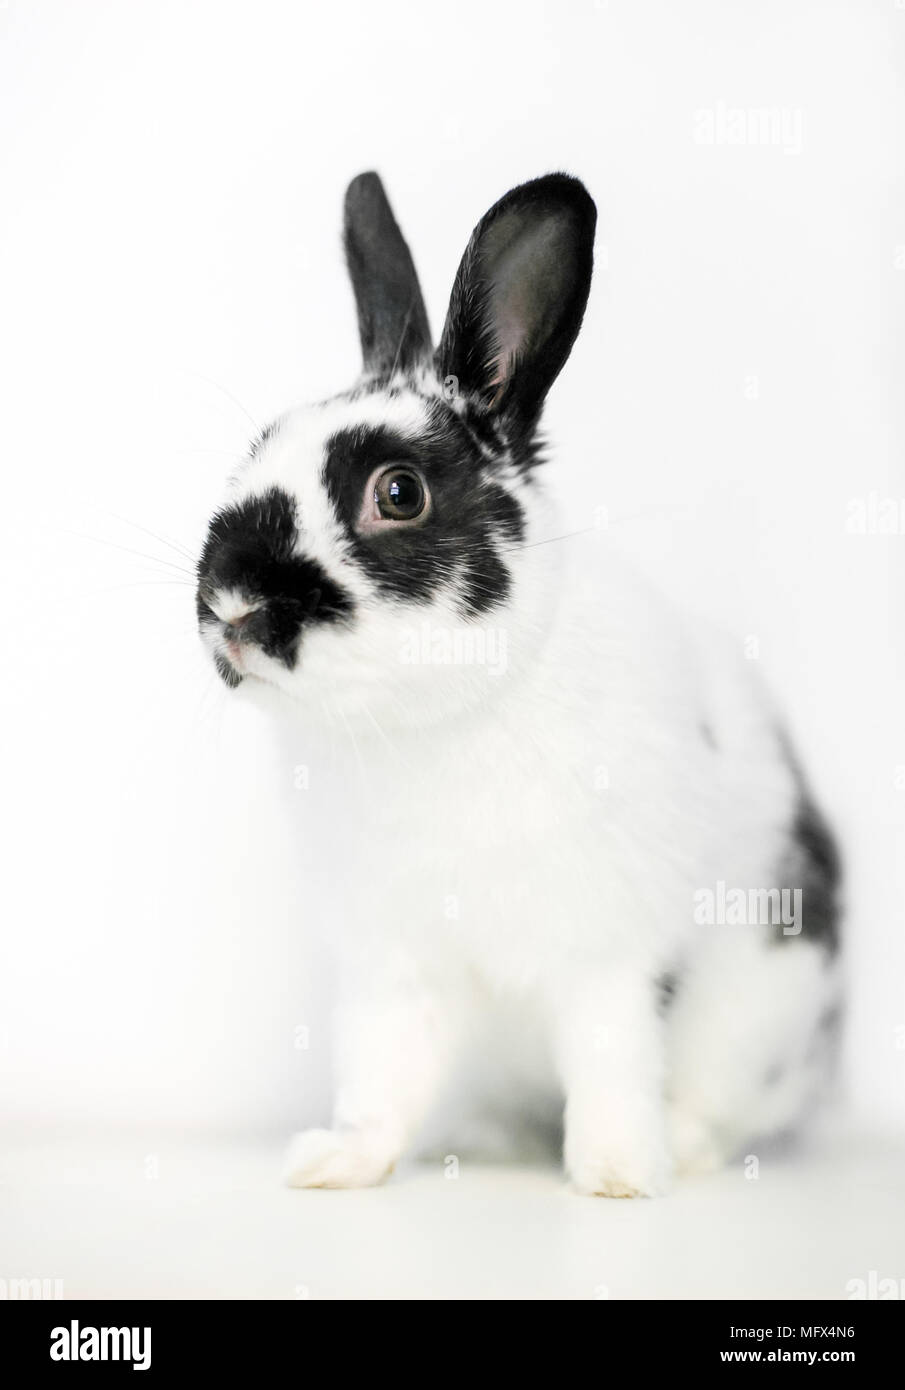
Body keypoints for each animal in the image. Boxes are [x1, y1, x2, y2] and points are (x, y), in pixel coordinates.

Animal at [195, 171, 842, 1196]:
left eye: (398, 493)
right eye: (255, 447)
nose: (230, 603)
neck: (435, 724)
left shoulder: (607, 957)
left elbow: (612, 1061)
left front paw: (618, 1176)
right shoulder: (397, 968)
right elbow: (382, 1073)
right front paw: (338, 1163)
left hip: (767, 999)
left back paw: (683, 1150)